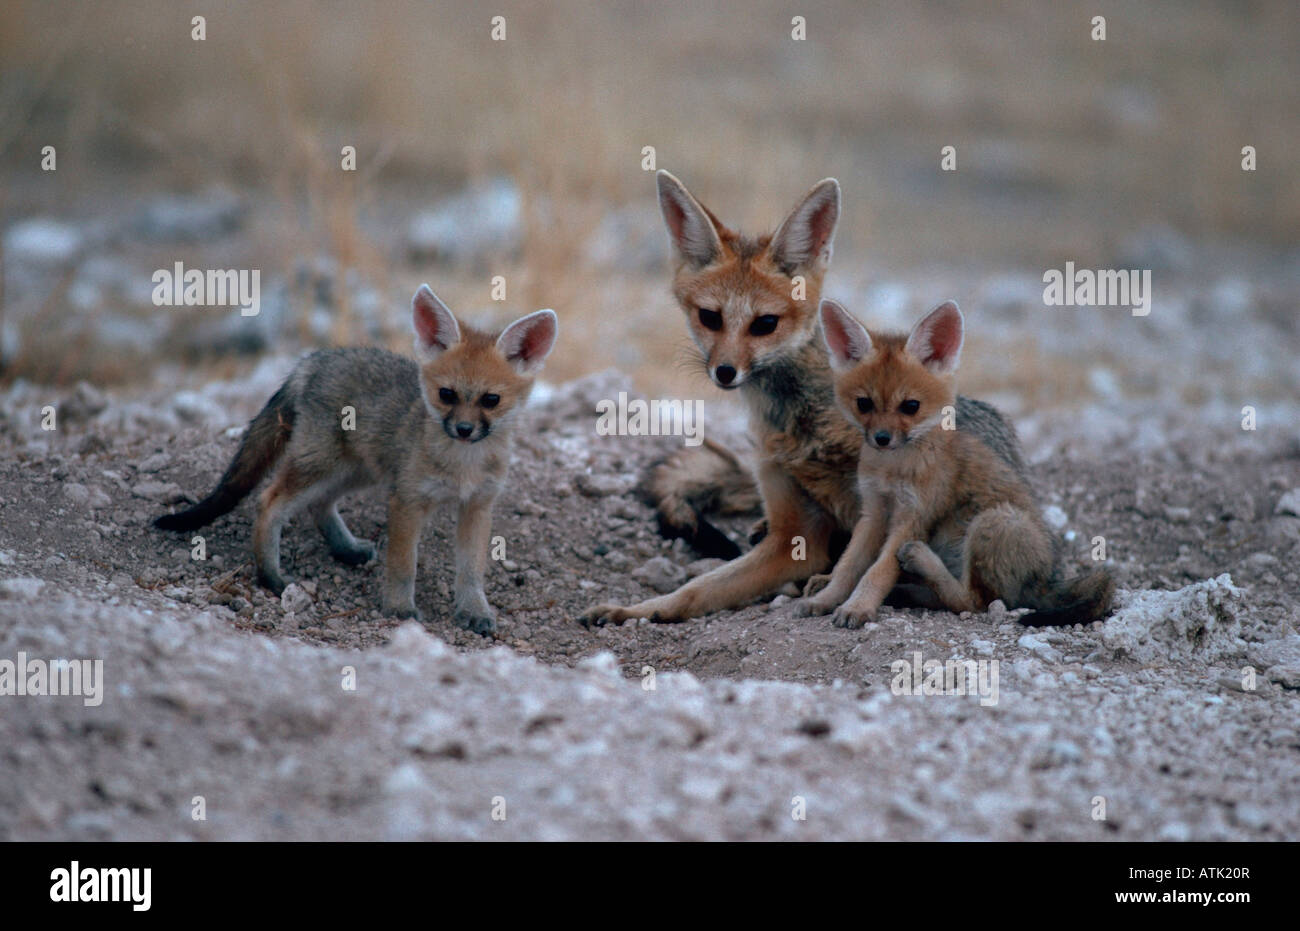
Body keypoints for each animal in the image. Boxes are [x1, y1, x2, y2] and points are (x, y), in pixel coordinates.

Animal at [154, 285, 558, 635]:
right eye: (447, 394)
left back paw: (345, 549)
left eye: (491, 400)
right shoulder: (406, 501)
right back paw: (271, 577)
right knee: (269, 502)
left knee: (318, 504)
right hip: (324, 466)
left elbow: (471, 571)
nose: (463, 429)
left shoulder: (478, 505)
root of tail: (315, 359)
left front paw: (474, 611)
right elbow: (403, 565)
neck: (463, 466)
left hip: (358, 471)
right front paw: (399, 608)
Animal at [582, 170, 862, 626]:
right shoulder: (795, 534)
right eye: (710, 317)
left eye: (765, 323)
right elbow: (695, 590)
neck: (801, 421)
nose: (725, 372)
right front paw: (634, 610)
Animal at [798, 297, 1114, 628]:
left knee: (973, 602)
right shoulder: (873, 513)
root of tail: (1048, 579)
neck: (892, 470)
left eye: (911, 406)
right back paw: (906, 589)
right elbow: (848, 566)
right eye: (864, 404)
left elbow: (877, 571)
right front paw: (826, 599)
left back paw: (921, 563)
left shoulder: (914, 518)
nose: (882, 439)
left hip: (994, 521)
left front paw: (858, 607)